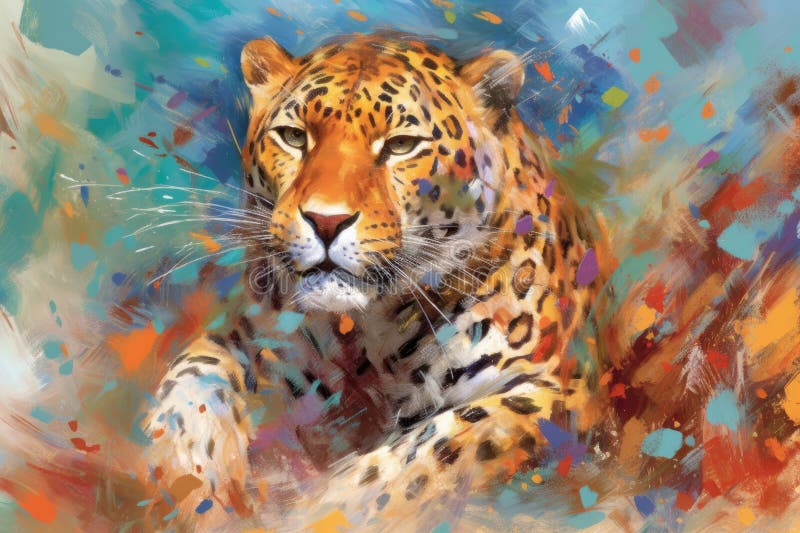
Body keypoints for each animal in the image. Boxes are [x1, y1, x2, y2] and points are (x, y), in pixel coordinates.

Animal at [142, 31, 609, 529]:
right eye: (294, 137)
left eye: (401, 145)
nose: (326, 221)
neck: (369, 332)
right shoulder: (247, 339)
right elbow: (192, 377)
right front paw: (195, 475)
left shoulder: (556, 392)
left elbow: (438, 445)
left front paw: (330, 510)